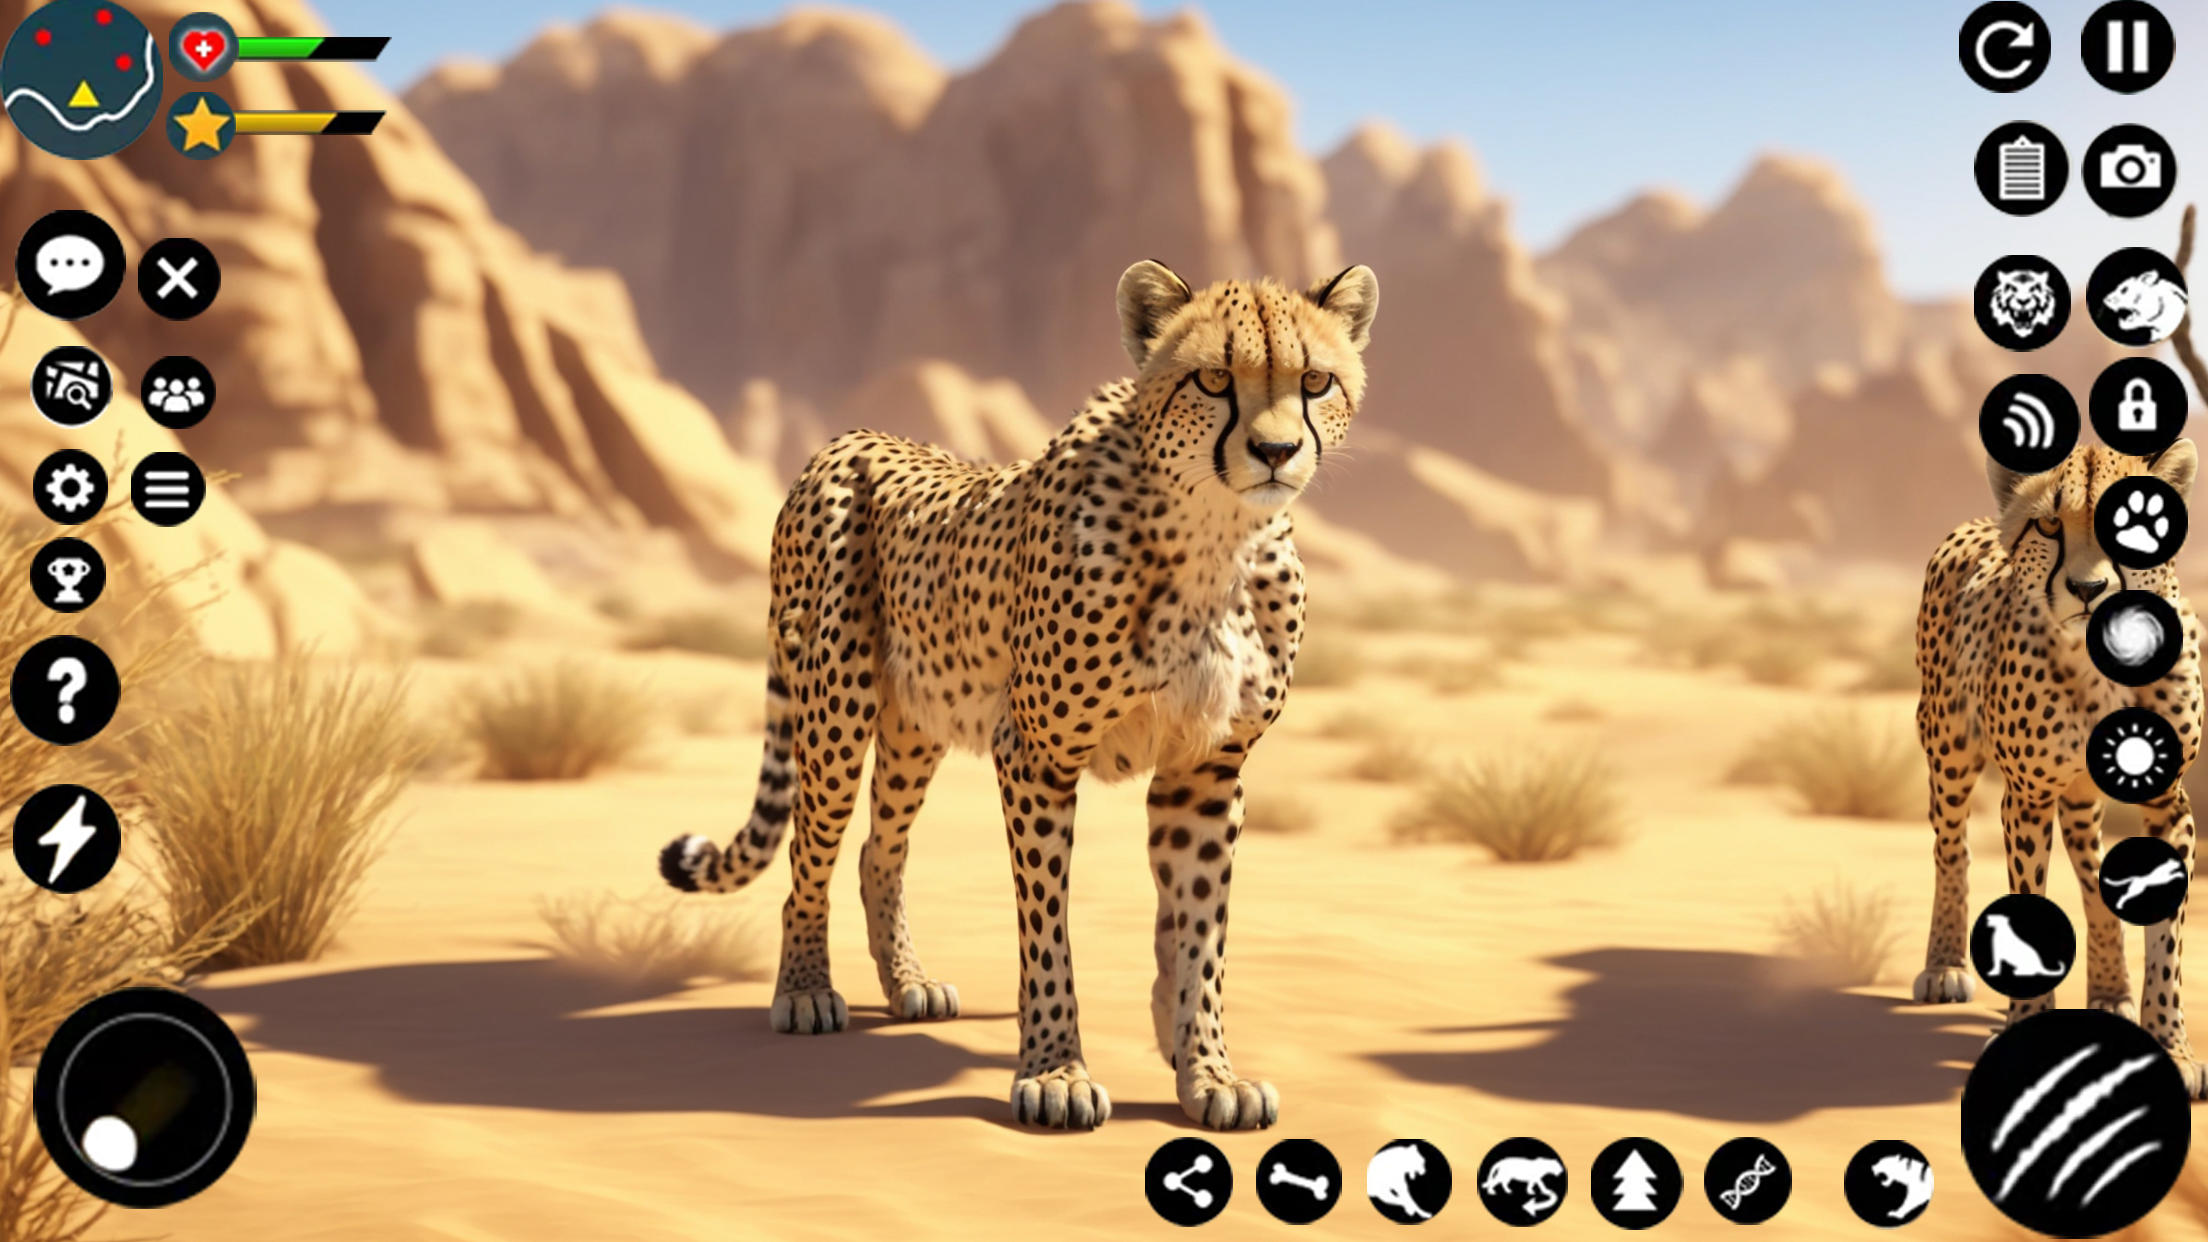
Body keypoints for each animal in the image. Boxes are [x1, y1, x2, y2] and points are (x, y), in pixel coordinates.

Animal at [658, 259, 1380, 1131]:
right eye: (1213, 379)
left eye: (1315, 381)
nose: (1275, 451)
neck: (1216, 536)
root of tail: (847, 437)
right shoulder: (1036, 757)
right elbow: (1047, 930)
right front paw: (1056, 1073)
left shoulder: (1205, 771)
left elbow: (1200, 934)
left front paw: (1207, 1072)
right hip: (836, 708)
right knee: (812, 848)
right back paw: (803, 989)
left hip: (917, 722)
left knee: (879, 847)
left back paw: (907, 982)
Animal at [1911, 440, 2206, 1097]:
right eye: (2049, 526)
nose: (2087, 587)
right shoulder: (2027, 797)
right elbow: (2029, 901)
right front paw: (2024, 1031)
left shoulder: (2168, 802)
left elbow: (2167, 938)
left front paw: (2170, 1046)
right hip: (1950, 748)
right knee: (1951, 848)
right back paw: (1944, 964)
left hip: (2078, 797)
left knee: (2095, 876)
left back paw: (2112, 993)